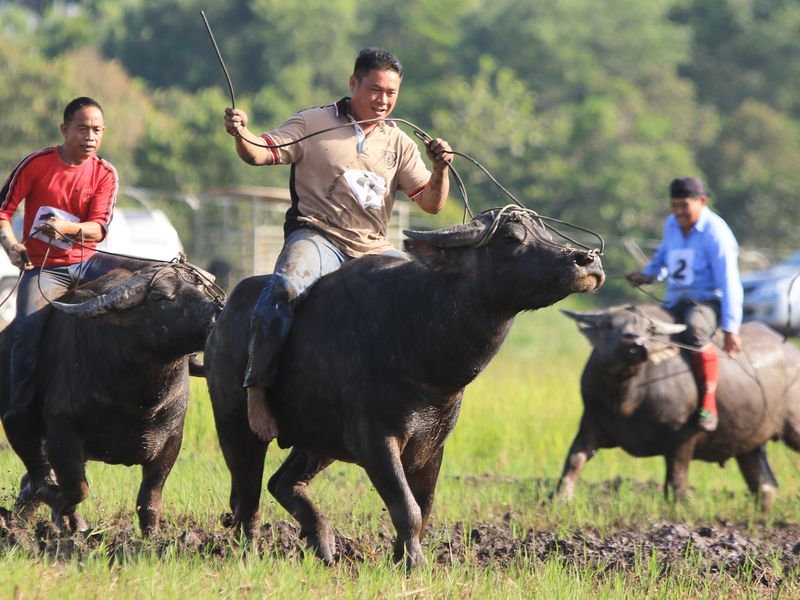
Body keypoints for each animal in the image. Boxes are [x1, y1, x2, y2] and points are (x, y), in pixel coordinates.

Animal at [0, 257, 224, 534]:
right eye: (161, 296)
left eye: (200, 286)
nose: (216, 314)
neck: (138, 400)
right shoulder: (62, 434)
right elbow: (76, 489)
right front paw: (68, 514)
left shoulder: (172, 439)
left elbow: (150, 499)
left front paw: (152, 537)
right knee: (32, 463)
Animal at [205, 206, 605, 568]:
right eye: (510, 238)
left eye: (545, 232)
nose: (588, 261)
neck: (417, 330)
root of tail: (220, 322)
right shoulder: (376, 441)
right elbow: (406, 507)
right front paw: (414, 563)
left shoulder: (432, 445)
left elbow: (423, 508)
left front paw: (401, 559)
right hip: (235, 428)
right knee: (249, 499)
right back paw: (249, 555)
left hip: (317, 441)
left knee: (280, 483)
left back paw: (324, 544)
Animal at [556, 304, 800, 509]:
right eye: (609, 324)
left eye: (649, 329)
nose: (635, 342)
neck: (626, 395)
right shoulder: (591, 423)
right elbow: (574, 460)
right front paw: (560, 498)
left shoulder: (682, 435)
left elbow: (676, 476)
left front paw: (680, 506)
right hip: (749, 441)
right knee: (764, 483)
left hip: (792, 429)